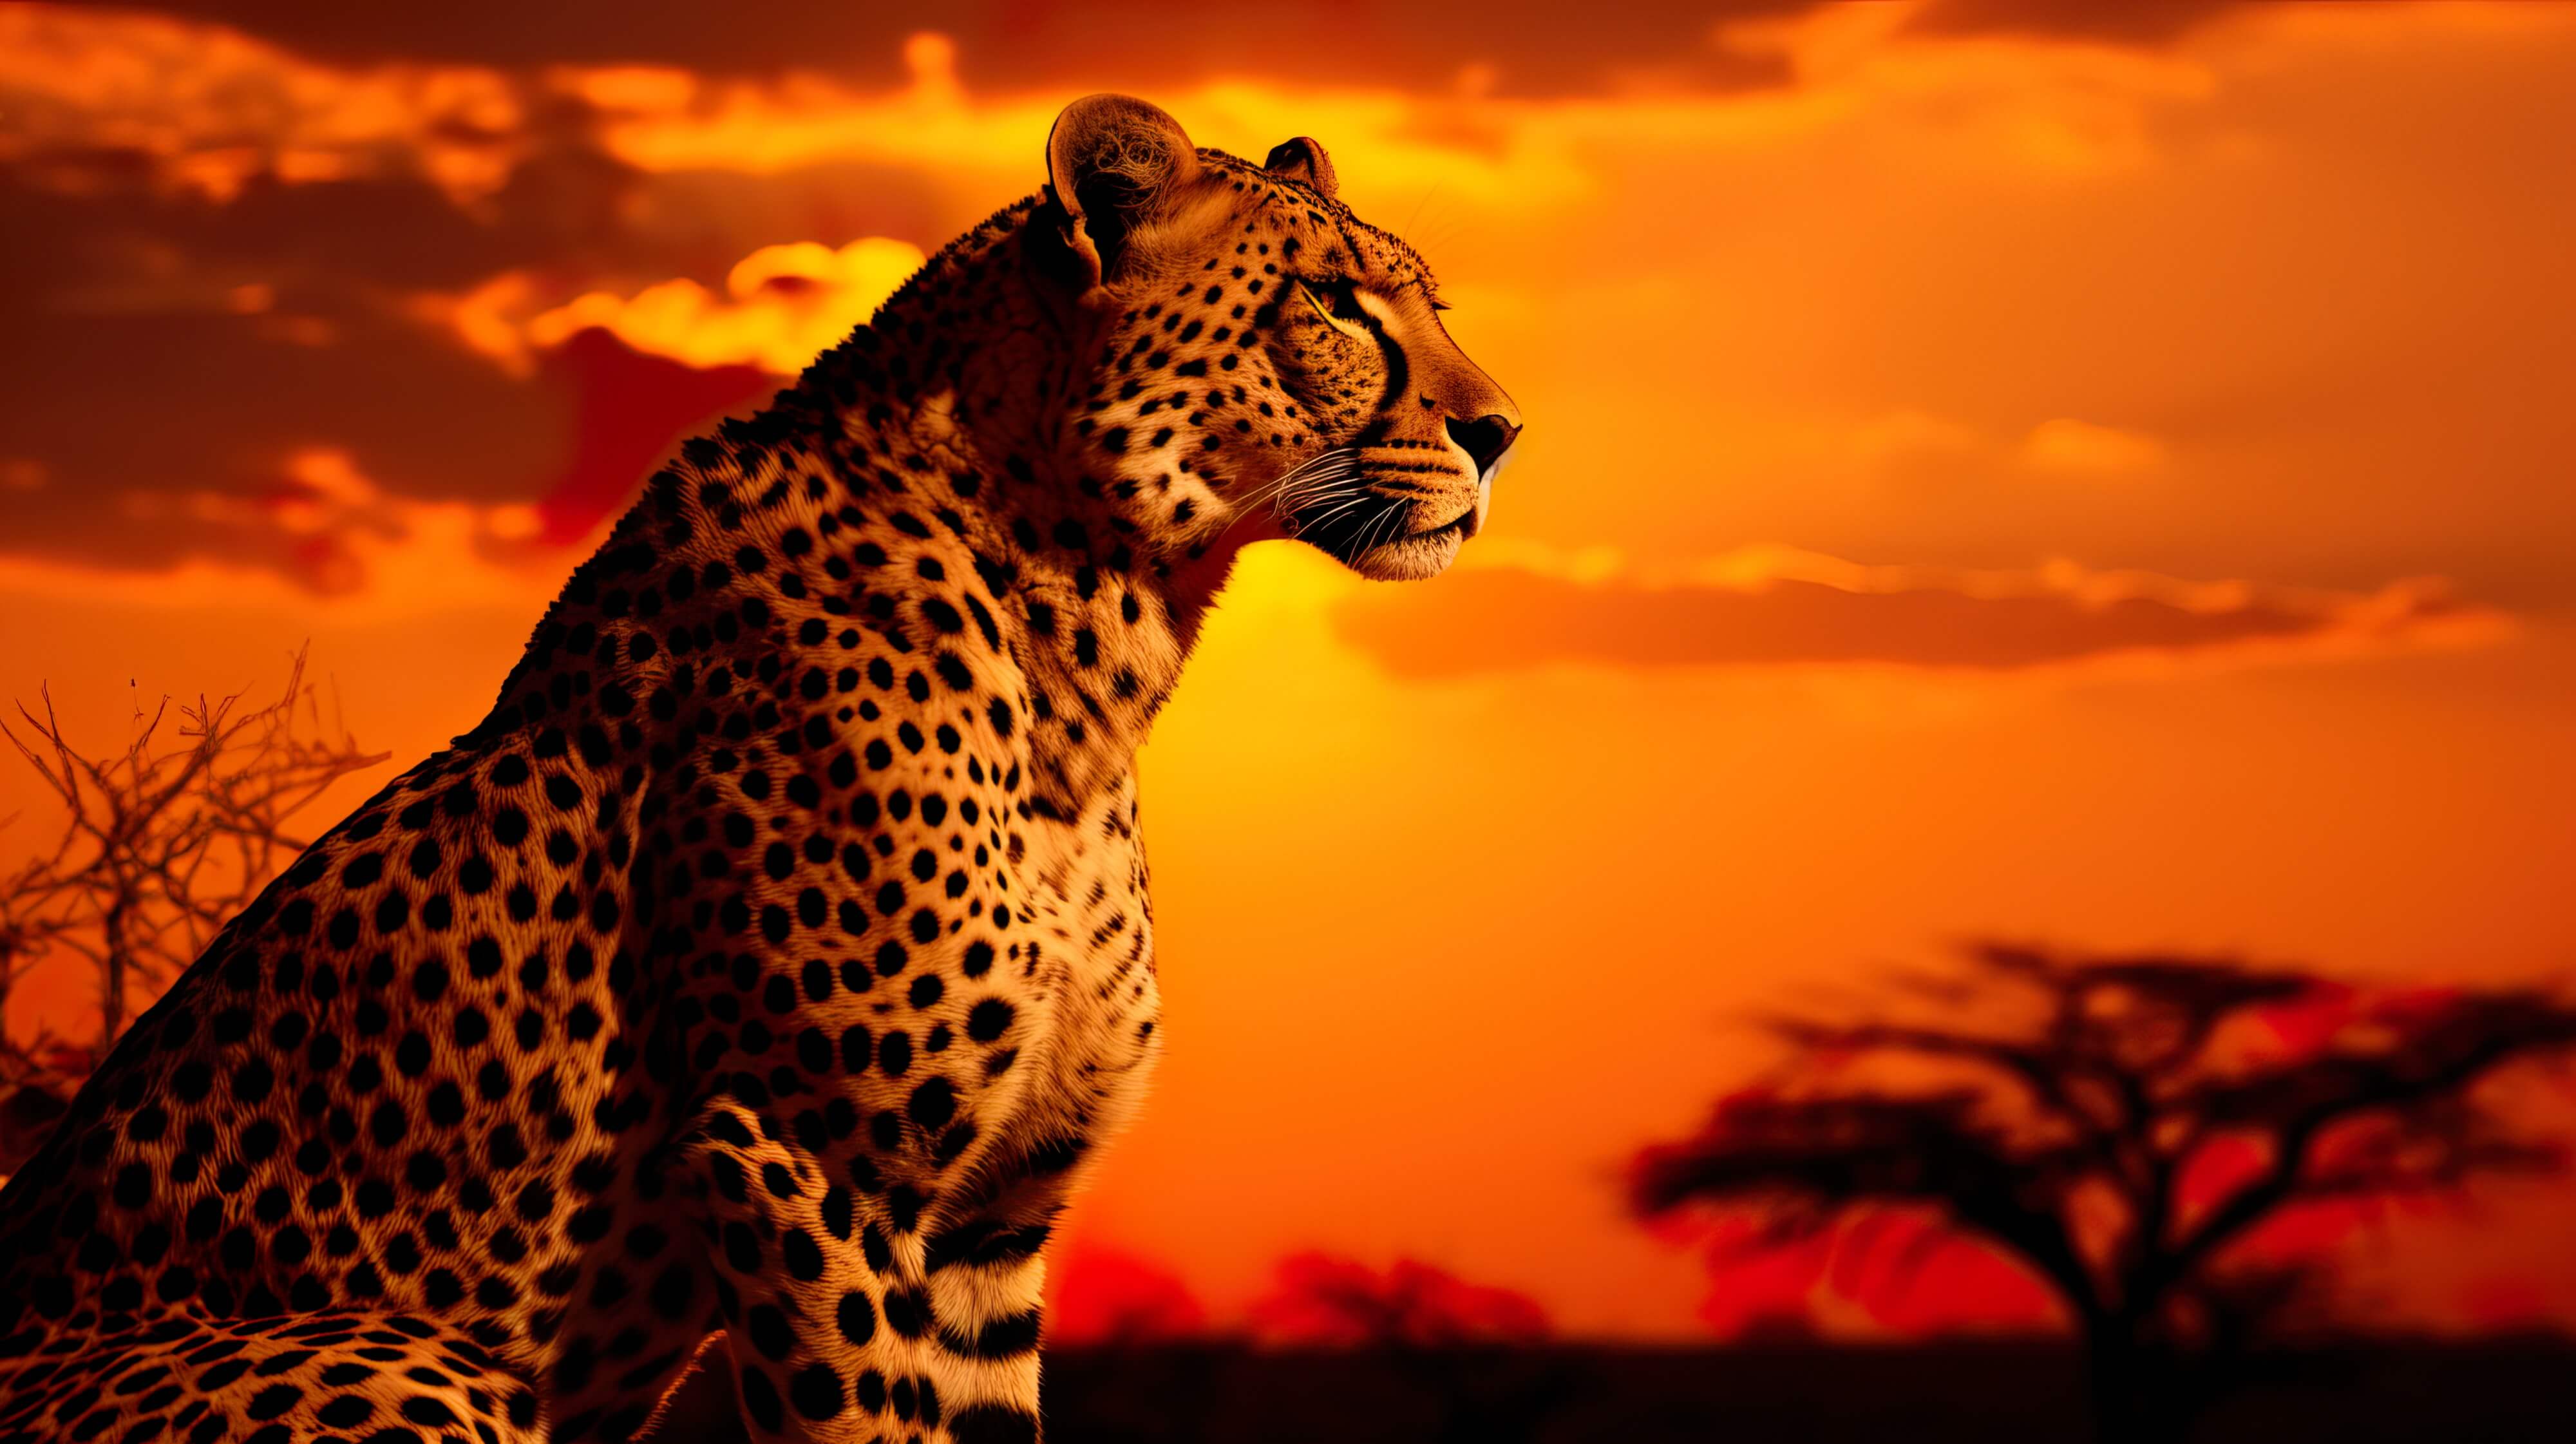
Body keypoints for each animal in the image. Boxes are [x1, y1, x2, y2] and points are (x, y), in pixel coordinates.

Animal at [0, 93, 1520, 1444]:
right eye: (1334, 304)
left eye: (1429, 301)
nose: (1501, 431)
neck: (1096, 626)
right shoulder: (805, 1161)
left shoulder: (987, 1224)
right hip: (407, 1361)